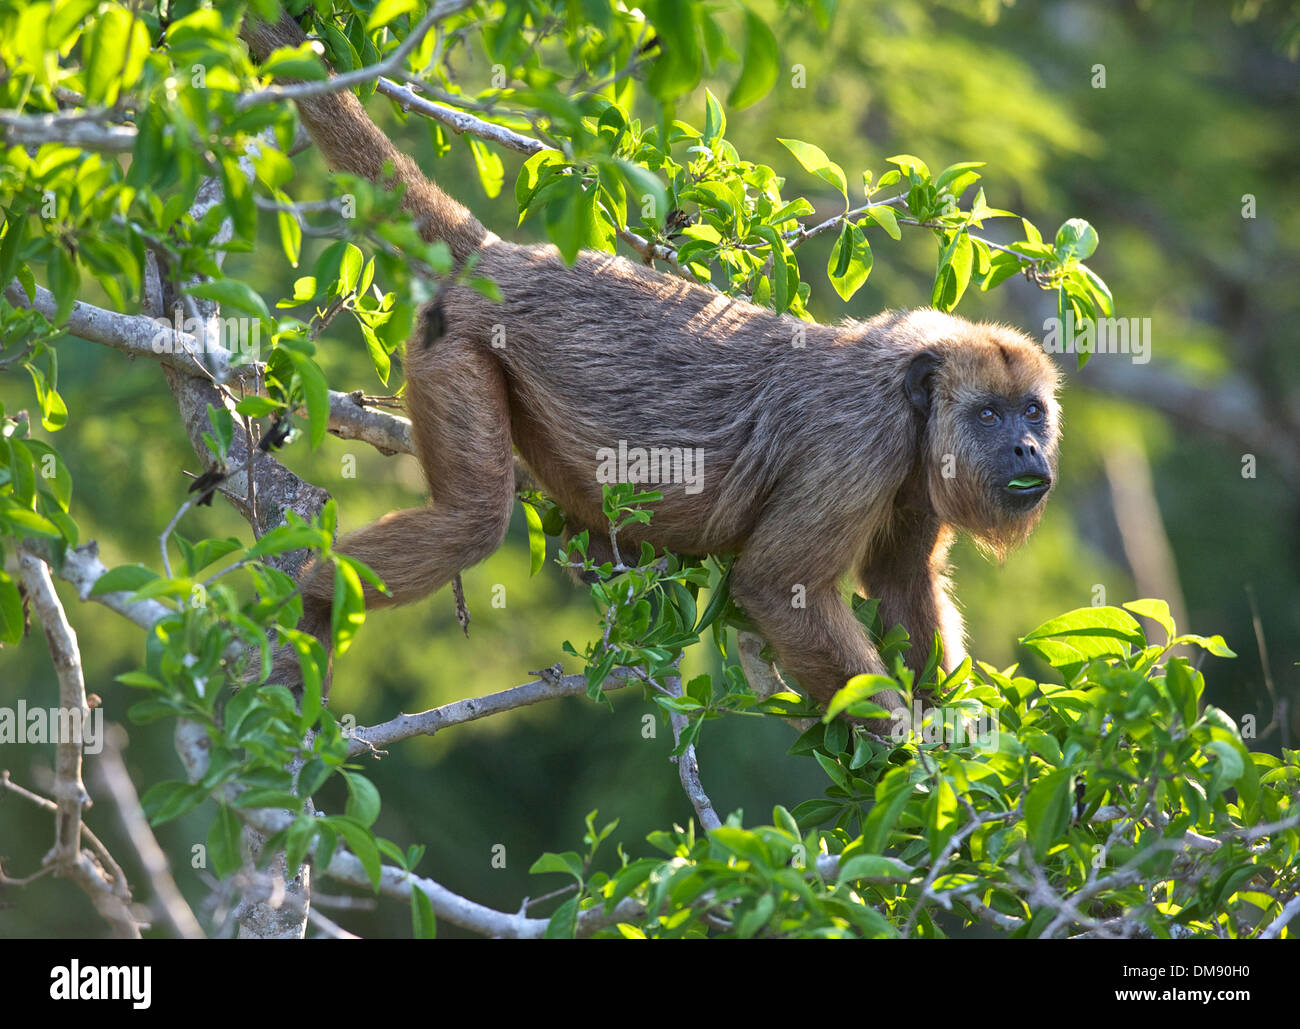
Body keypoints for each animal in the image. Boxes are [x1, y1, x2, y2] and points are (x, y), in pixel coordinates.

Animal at [240, 13, 1061, 724]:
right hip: (453, 345)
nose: (1026, 448)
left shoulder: (917, 477)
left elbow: (899, 583)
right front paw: (905, 756)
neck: (914, 407)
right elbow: (778, 586)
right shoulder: (861, 443)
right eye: (987, 413)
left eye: (1033, 412)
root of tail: (500, 257)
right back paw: (316, 599)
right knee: (471, 519)